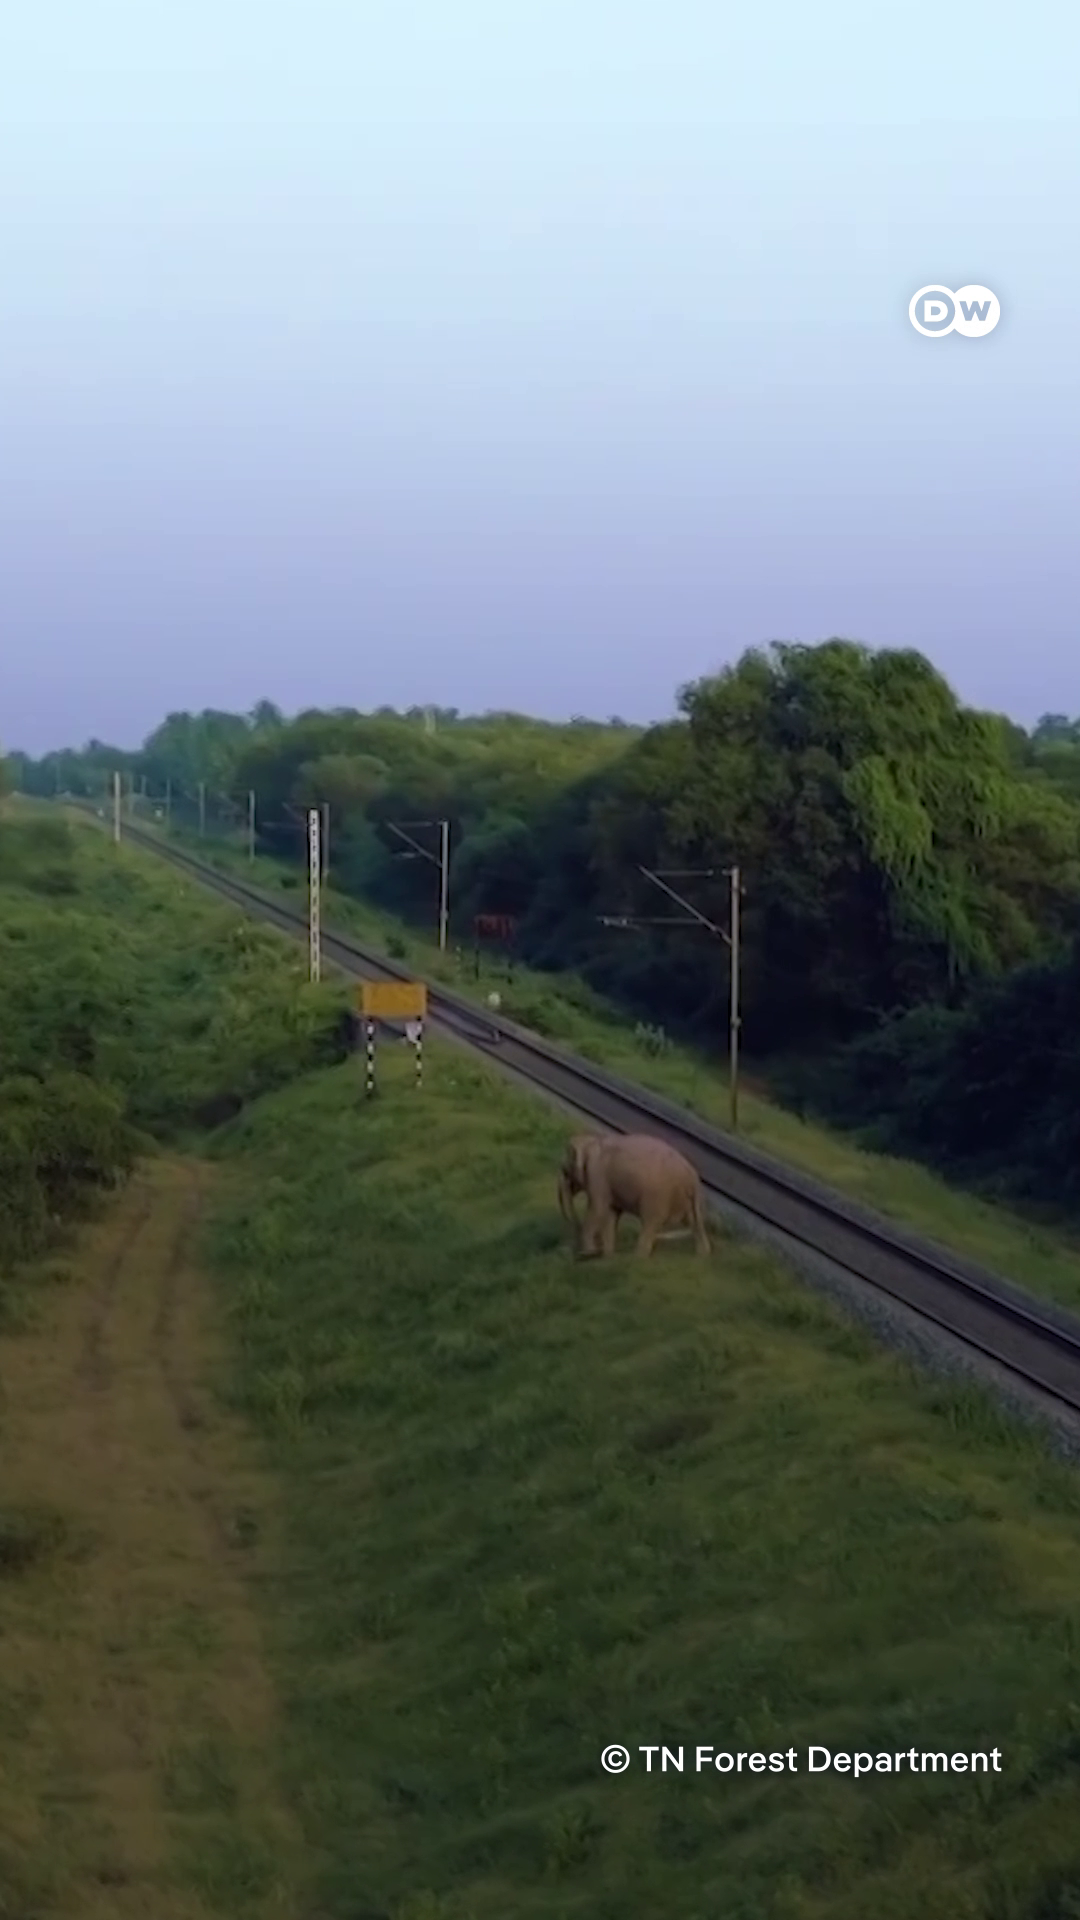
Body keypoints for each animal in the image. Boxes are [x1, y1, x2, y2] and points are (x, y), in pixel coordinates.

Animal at [557, 1130, 711, 1259]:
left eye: (565, 1171)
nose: (594, 1250)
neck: (592, 1140)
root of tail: (693, 1178)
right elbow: (611, 1214)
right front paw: (607, 1257)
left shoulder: (597, 1174)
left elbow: (598, 1209)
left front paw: (587, 1253)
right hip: (687, 1201)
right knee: (694, 1223)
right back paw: (702, 1257)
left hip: (657, 1197)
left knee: (649, 1224)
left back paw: (637, 1259)